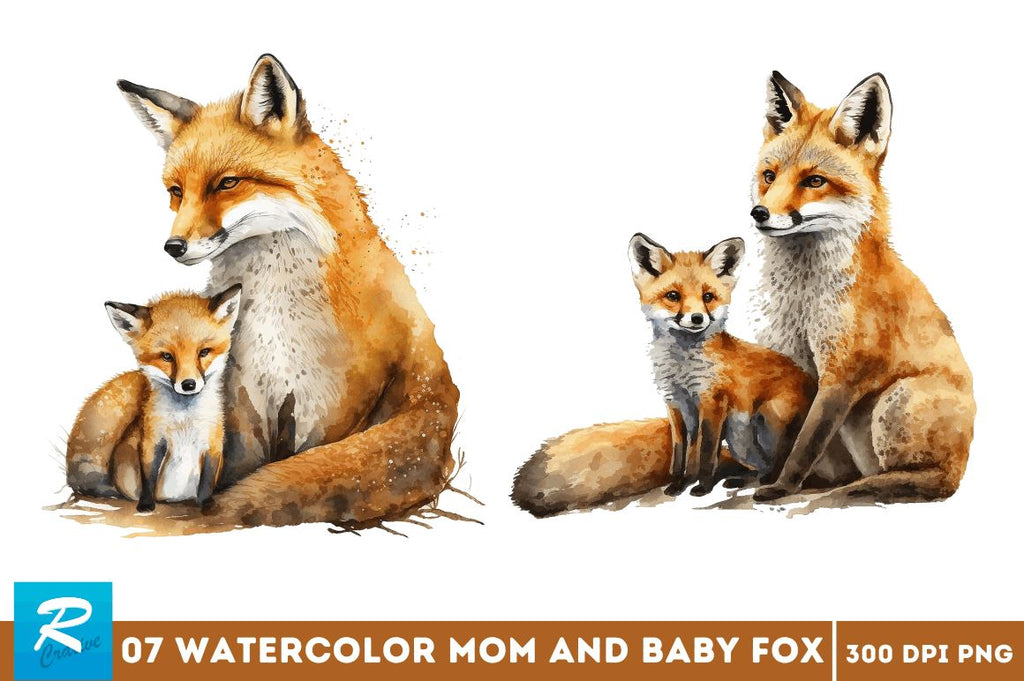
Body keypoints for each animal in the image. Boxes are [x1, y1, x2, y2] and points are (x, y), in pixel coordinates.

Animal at [100, 287, 241, 512]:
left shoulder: (213, 442)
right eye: (167, 357)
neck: (185, 420)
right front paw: (146, 504)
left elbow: (207, 480)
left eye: (203, 352)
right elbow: (149, 478)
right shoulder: (152, 441)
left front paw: (206, 503)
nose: (189, 384)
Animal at [628, 234, 815, 497]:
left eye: (708, 297)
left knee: (780, 463)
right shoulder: (676, 403)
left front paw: (702, 486)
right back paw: (742, 479)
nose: (697, 318)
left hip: (767, 418)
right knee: (760, 466)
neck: (682, 367)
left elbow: (707, 451)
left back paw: (769, 483)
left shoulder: (712, 401)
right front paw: (678, 484)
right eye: (673, 296)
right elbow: (681, 452)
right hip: (739, 441)